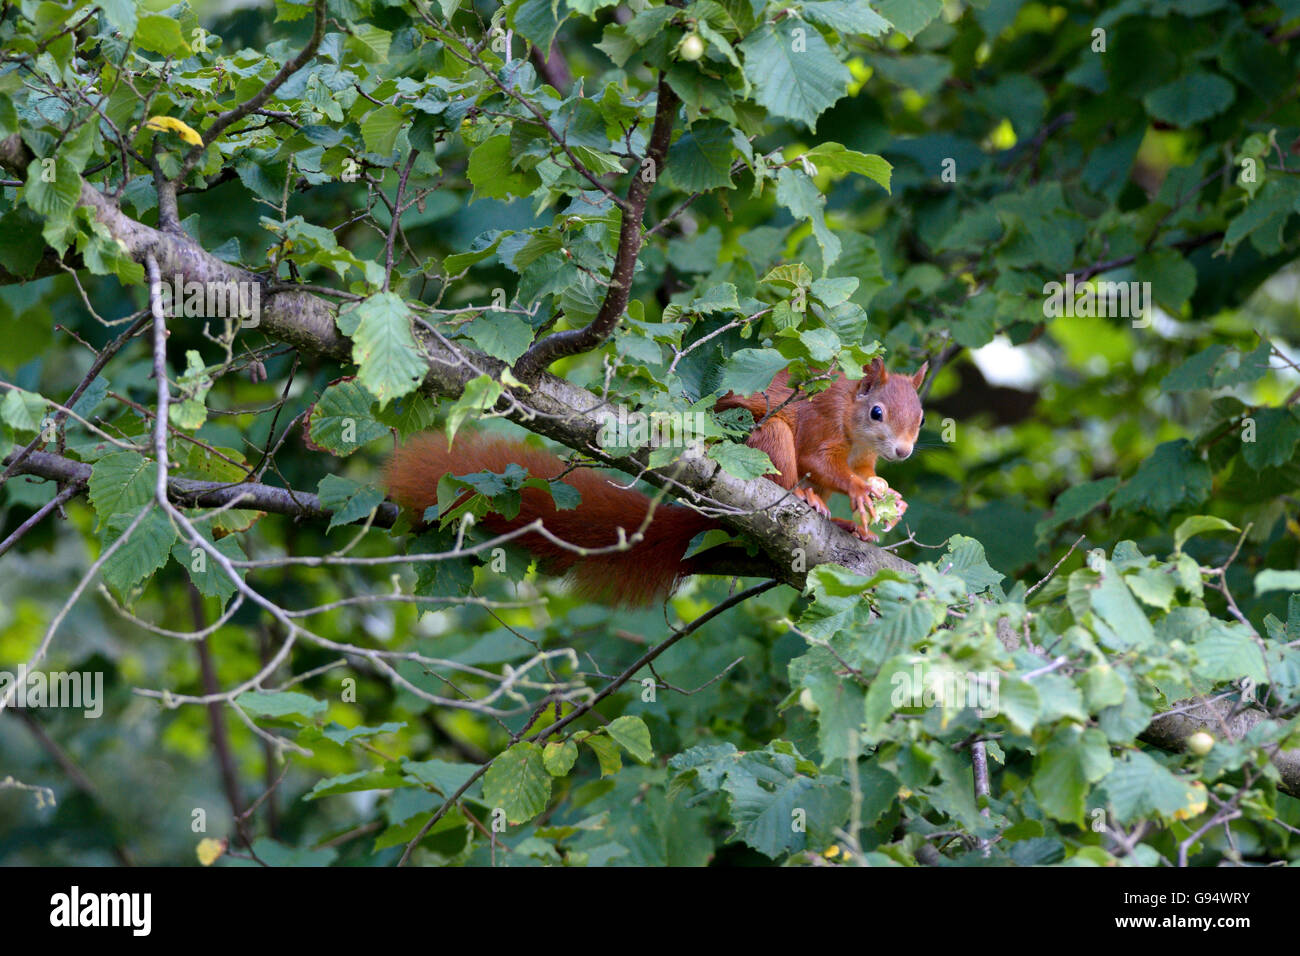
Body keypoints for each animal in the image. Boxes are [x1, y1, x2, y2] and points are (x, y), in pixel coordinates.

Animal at [384, 357, 927, 607]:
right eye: (877, 412)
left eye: (920, 417)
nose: (903, 452)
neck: (856, 431)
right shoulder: (822, 424)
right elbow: (821, 460)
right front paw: (860, 495)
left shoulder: (864, 458)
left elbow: (863, 474)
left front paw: (881, 503)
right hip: (767, 439)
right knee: (786, 469)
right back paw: (807, 497)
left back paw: (845, 523)